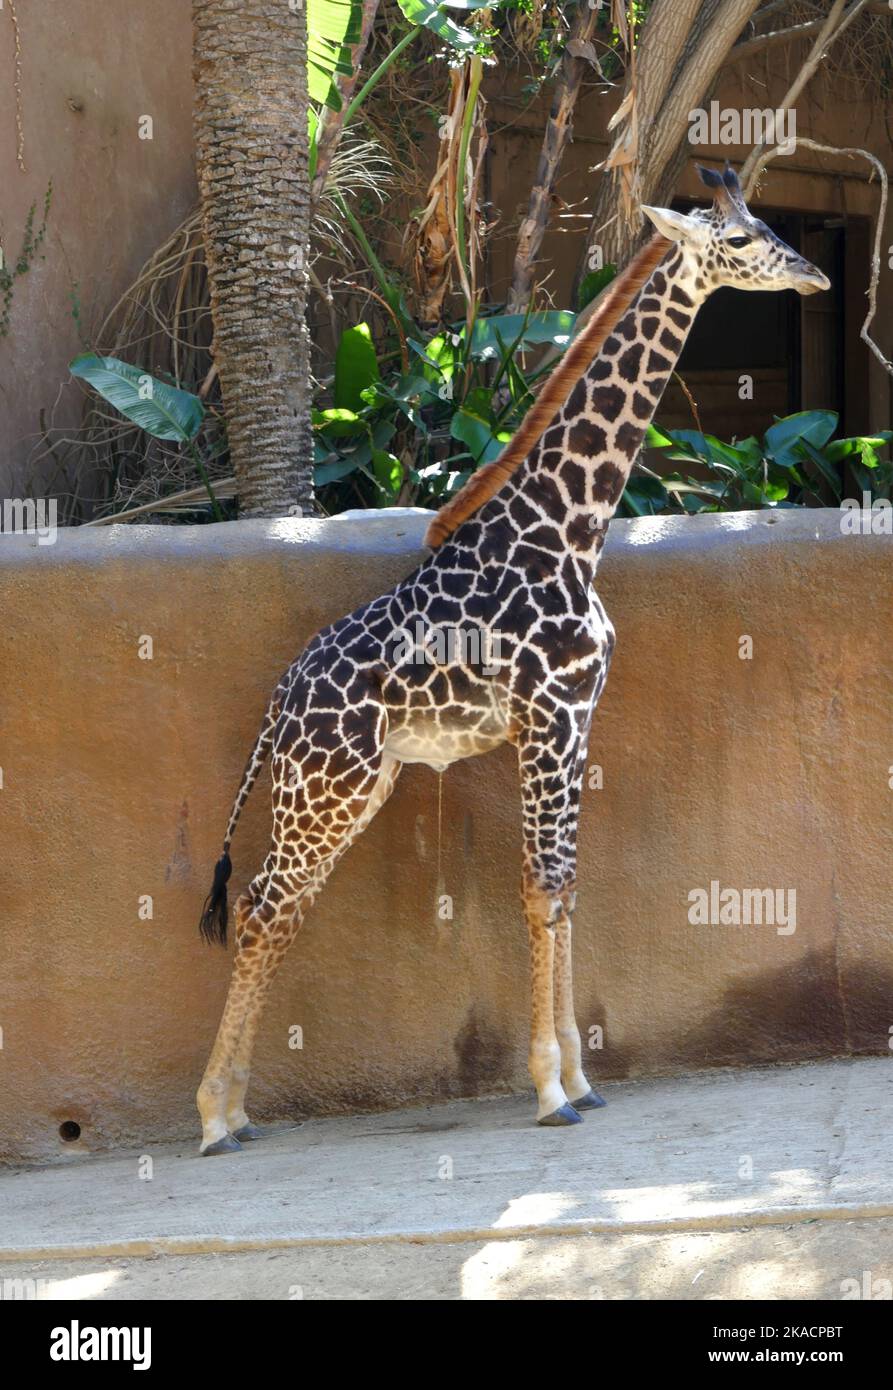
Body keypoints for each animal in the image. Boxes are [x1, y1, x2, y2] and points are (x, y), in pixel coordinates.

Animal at [196, 163, 829, 1153]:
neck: (573, 526)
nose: (812, 273)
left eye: (766, 225)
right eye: (737, 240)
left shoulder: (575, 721)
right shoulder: (547, 716)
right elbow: (541, 887)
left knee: (278, 906)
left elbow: (566, 885)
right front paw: (548, 1089)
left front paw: (582, 1077)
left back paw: (236, 1109)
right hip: (326, 786)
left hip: (356, 786)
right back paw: (215, 1117)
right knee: (263, 905)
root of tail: (277, 706)